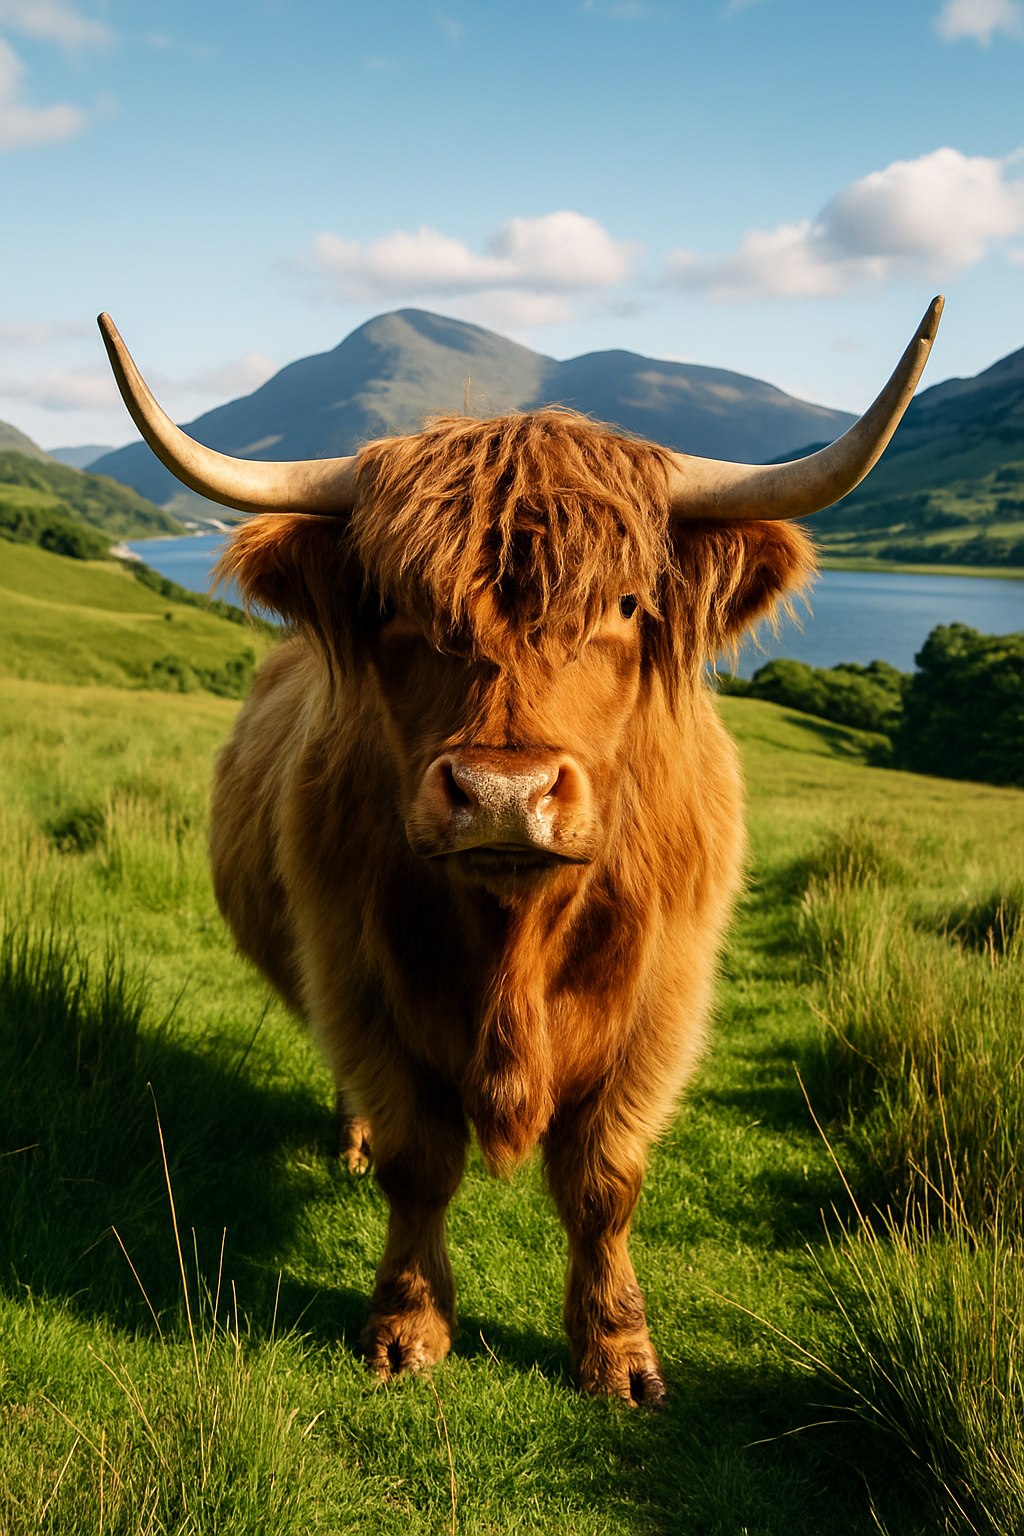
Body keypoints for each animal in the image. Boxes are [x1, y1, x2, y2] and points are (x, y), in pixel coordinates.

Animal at [99, 299, 941, 1405]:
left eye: (624, 607)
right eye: (398, 610)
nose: (504, 794)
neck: (514, 938)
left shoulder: (660, 1006)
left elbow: (603, 1180)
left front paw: (617, 1352)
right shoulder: (359, 980)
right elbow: (418, 1162)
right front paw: (405, 1328)